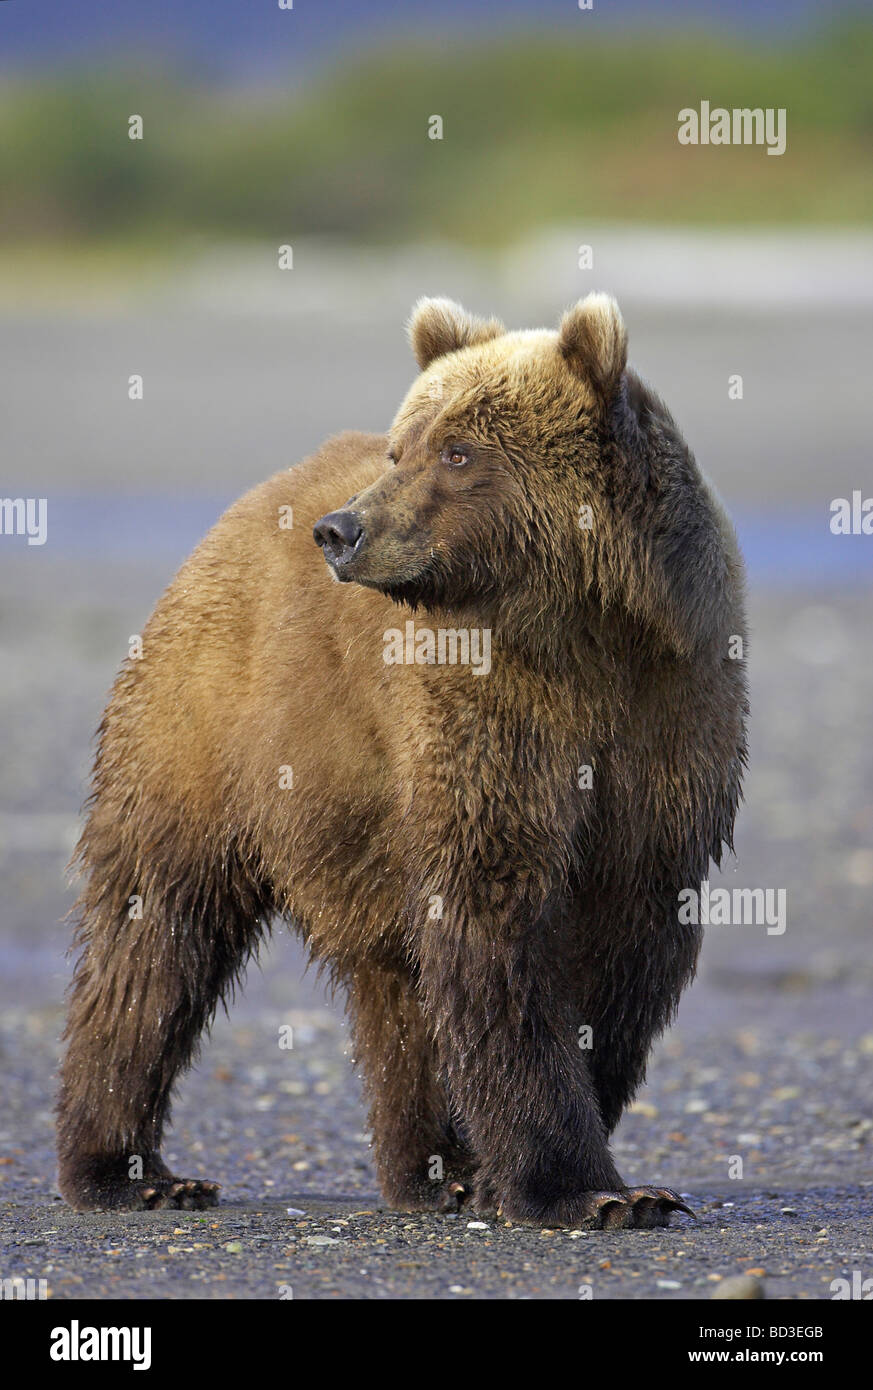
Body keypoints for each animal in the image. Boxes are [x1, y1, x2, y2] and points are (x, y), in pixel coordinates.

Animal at [57, 294, 748, 1228]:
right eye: (402, 446)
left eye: (456, 451)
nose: (340, 529)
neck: (580, 631)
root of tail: (241, 511)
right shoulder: (486, 716)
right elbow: (497, 924)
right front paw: (581, 1186)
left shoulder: (670, 716)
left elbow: (623, 939)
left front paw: (547, 1171)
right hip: (205, 724)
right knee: (157, 926)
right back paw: (131, 1170)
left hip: (361, 815)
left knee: (397, 979)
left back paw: (433, 1169)